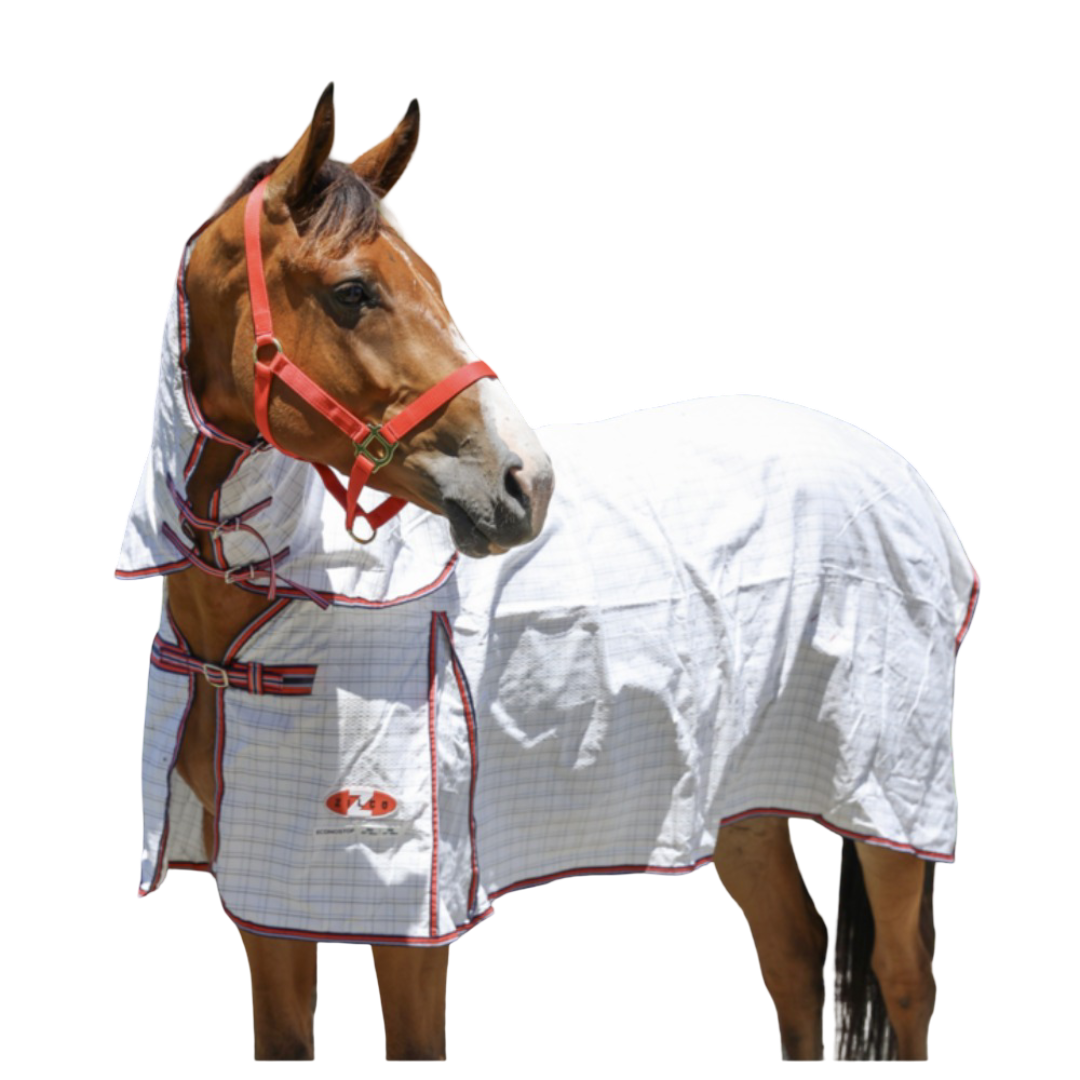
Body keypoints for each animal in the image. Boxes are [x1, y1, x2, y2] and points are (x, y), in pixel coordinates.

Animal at [121, 84, 978, 1062]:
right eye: (352, 292)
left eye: (434, 285)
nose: (523, 483)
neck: (270, 618)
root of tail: (889, 467)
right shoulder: (269, 904)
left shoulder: (413, 921)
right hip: (744, 798)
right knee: (793, 955)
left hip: (888, 806)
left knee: (902, 980)